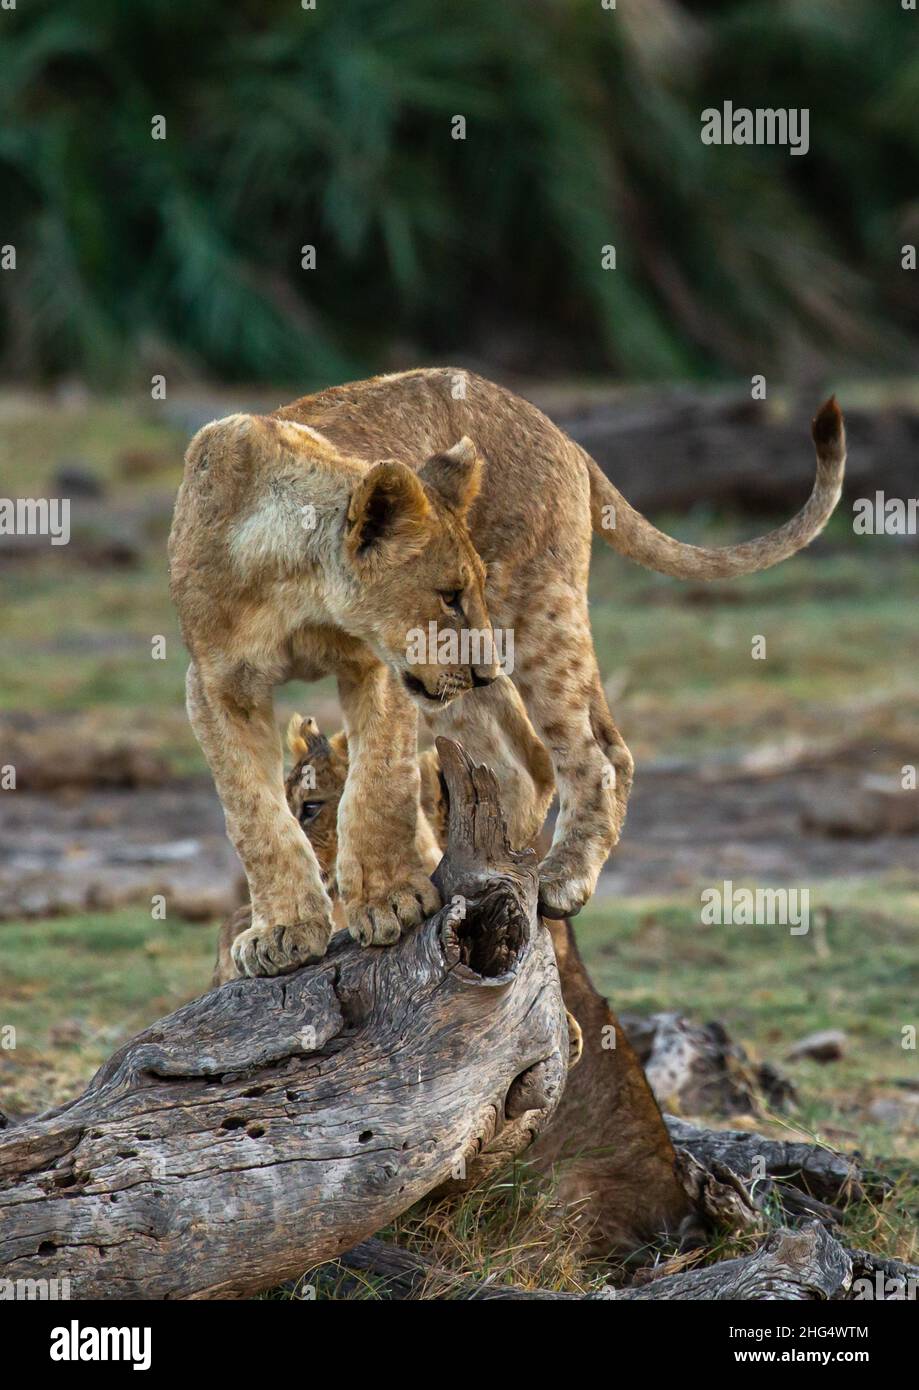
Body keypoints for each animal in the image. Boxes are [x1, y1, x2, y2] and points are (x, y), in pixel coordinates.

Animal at [175, 370, 845, 977]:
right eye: (448, 596)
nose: (485, 666)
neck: (295, 588)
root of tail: (558, 430)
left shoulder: (379, 667)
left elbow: (378, 785)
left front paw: (388, 901)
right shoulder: (214, 686)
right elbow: (253, 814)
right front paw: (283, 932)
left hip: (539, 612)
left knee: (598, 753)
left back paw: (559, 877)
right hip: (464, 688)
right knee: (528, 763)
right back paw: (488, 867)